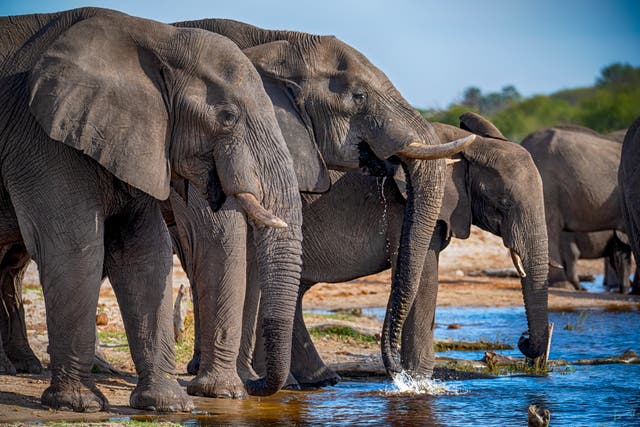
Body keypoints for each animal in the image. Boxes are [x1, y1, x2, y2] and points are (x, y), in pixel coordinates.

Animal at [0, 7, 306, 412]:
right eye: (227, 117)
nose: (255, 385)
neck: (156, 37)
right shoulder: (41, 137)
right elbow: (73, 247)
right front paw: (79, 404)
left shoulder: (135, 143)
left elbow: (144, 252)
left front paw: (171, 404)